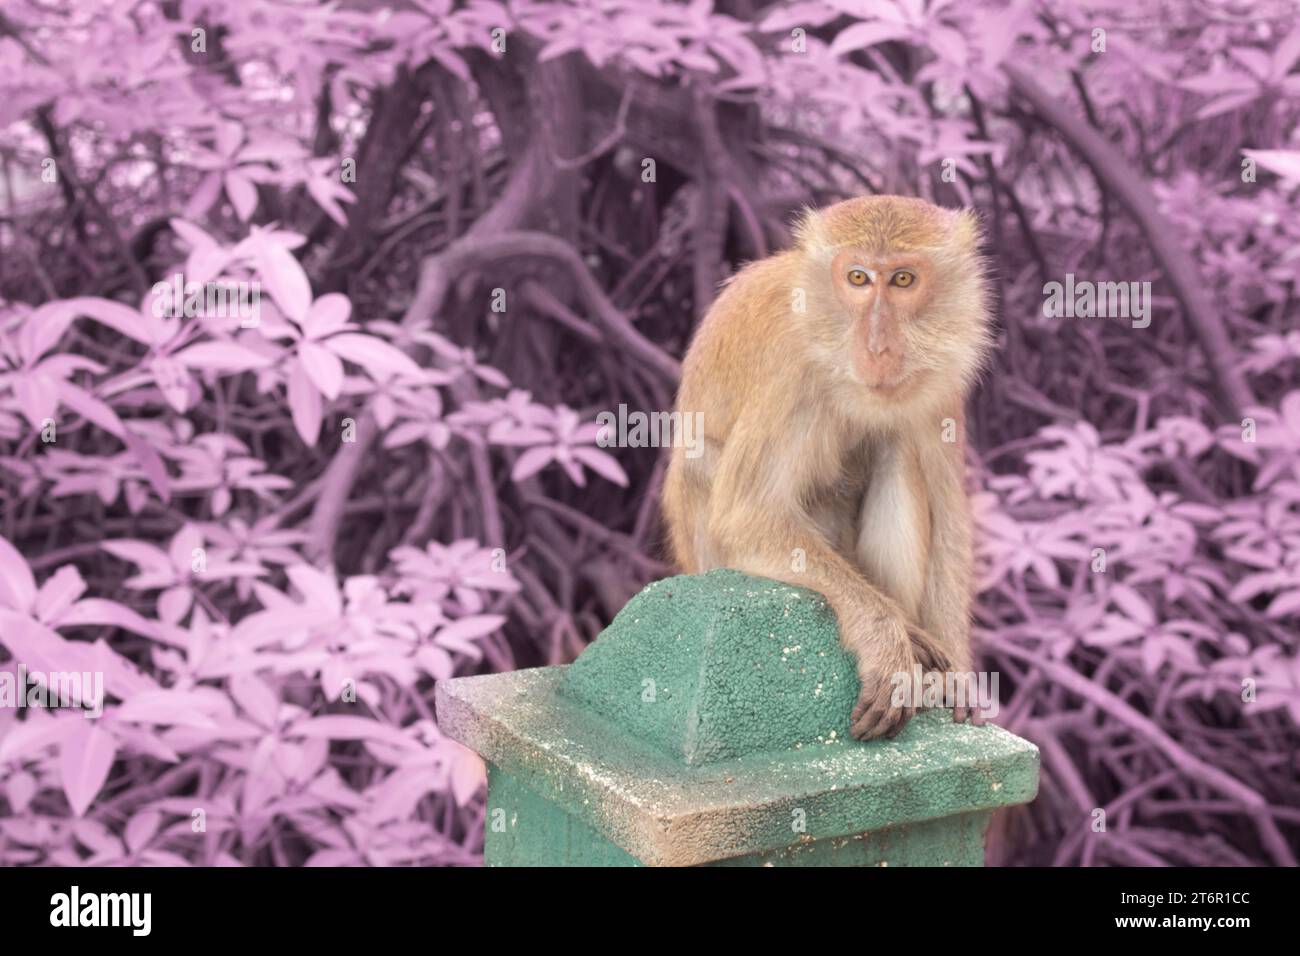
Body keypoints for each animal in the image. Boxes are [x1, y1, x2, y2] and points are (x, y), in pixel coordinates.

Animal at [662, 195, 992, 741]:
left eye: (903, 280)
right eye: (857, 277)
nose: (878, 347)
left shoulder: (941, 378)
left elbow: (950, 515)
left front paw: (958, 673)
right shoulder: (790, 363)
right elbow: (746, 515)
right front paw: (886, 638)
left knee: (897, 446)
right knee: (702, 461)